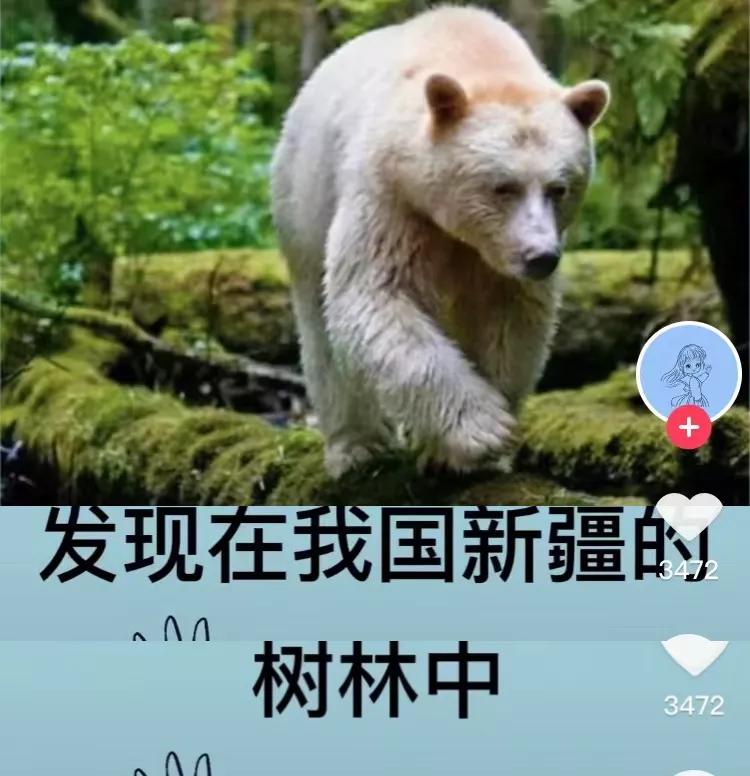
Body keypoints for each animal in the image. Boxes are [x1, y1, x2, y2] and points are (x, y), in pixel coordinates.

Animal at [271, 5, 610, 478]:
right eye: (503, 187)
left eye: (559, 188)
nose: (541, 257)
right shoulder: (391, 195)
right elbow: (376, 295)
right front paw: (483, 428)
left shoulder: (495, 259)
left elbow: (510, 317)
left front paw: (468, 452)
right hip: (303, 200)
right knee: (321, 328)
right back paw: (356, 446)